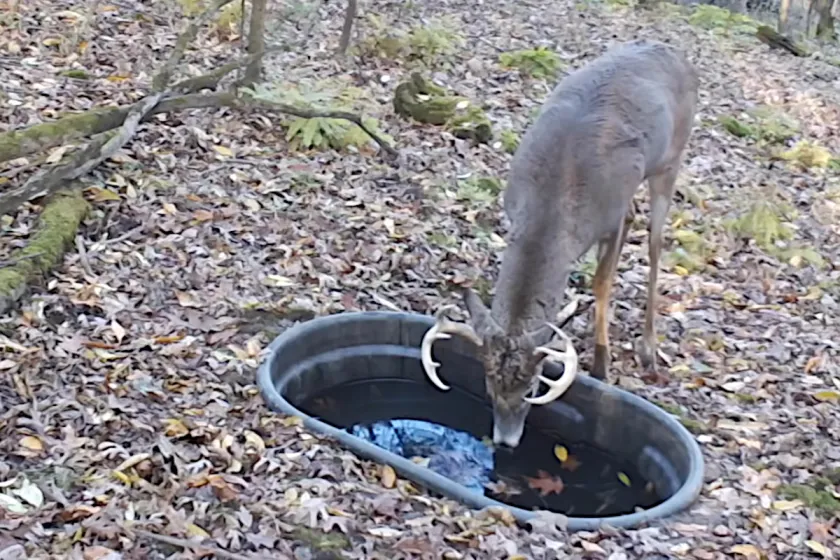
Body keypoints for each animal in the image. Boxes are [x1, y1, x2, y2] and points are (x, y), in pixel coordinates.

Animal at [419, 39, 699, 449]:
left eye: (533, 388)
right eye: (489, 387)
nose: (505, 441)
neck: (555, 197)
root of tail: (674, 52)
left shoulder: (610, 217)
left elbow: (601, 281)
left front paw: (601, 365)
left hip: (671, 159)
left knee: (655, 240)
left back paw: (648, 348)